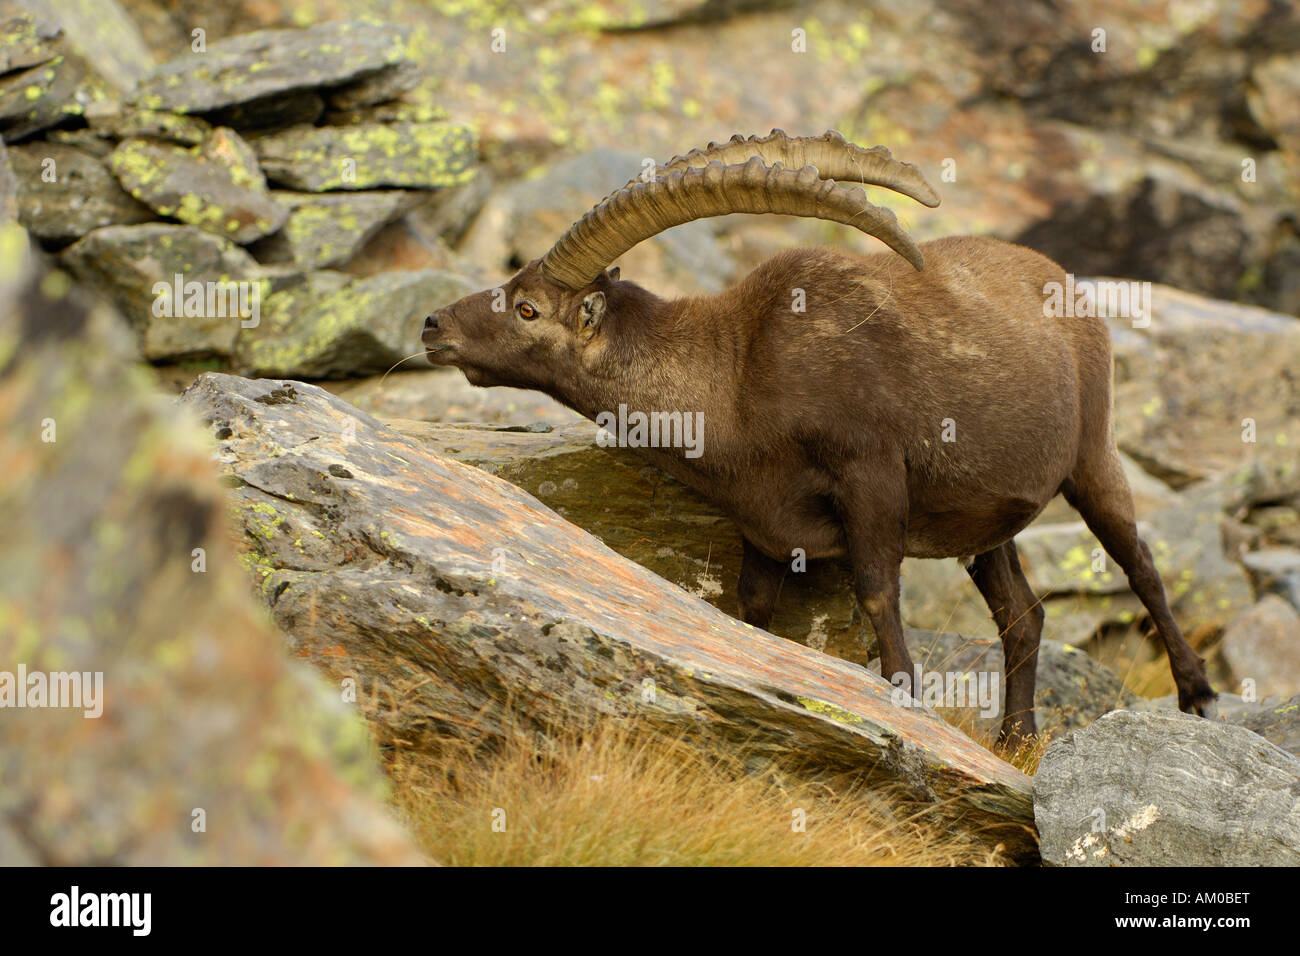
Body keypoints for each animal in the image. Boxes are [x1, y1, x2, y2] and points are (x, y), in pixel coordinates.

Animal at [421, 130, 1217, 744]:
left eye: (527, 308)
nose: (433, 325)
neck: (737, 369)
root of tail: (1068, 287)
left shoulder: (871, 477)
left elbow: (877, 594)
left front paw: (904, 710)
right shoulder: (764, 525)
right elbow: (755, 607)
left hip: (1093, 456)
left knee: (1141, 566)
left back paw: (1198, 696)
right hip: (985, 524)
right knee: (1023, 614)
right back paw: (1016, 740)